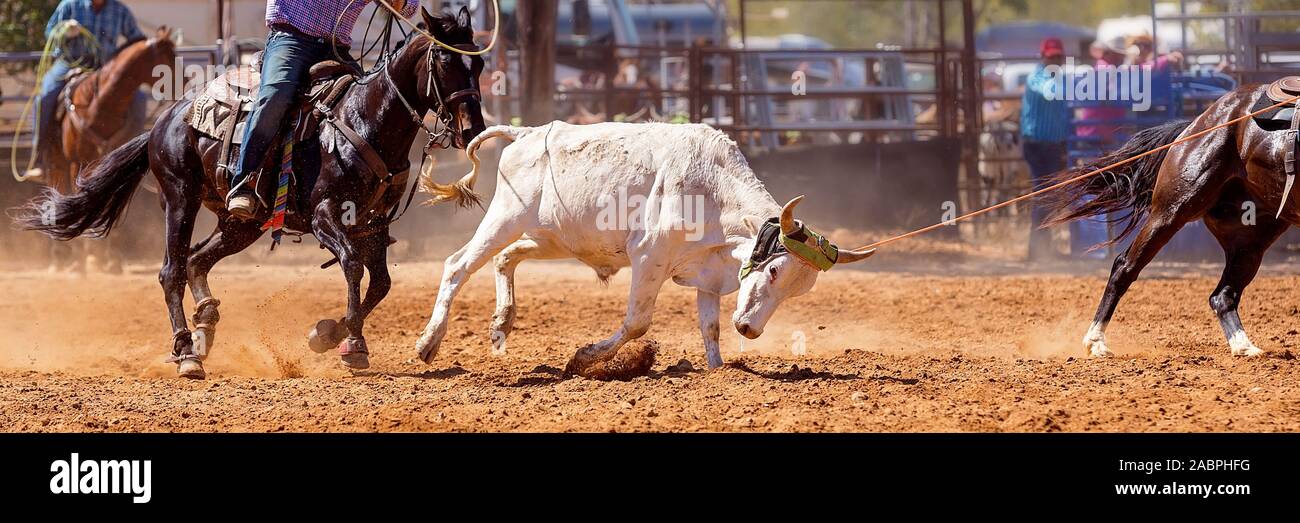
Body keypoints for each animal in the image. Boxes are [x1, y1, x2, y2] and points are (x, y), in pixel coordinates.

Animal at [414, 121, 876, 370]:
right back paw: (428, 343)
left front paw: (719, 370)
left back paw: (501, 323)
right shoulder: (649, 258)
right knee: (458, 265)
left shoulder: (708, 274)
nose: (750, 329)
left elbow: (710, 327)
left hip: (549, 237)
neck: (711, 189)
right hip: (504, 218)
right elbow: (637, 322)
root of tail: (525, 133)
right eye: (775, 270)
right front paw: (584, 357)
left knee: (506, 259)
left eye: (798, 292)